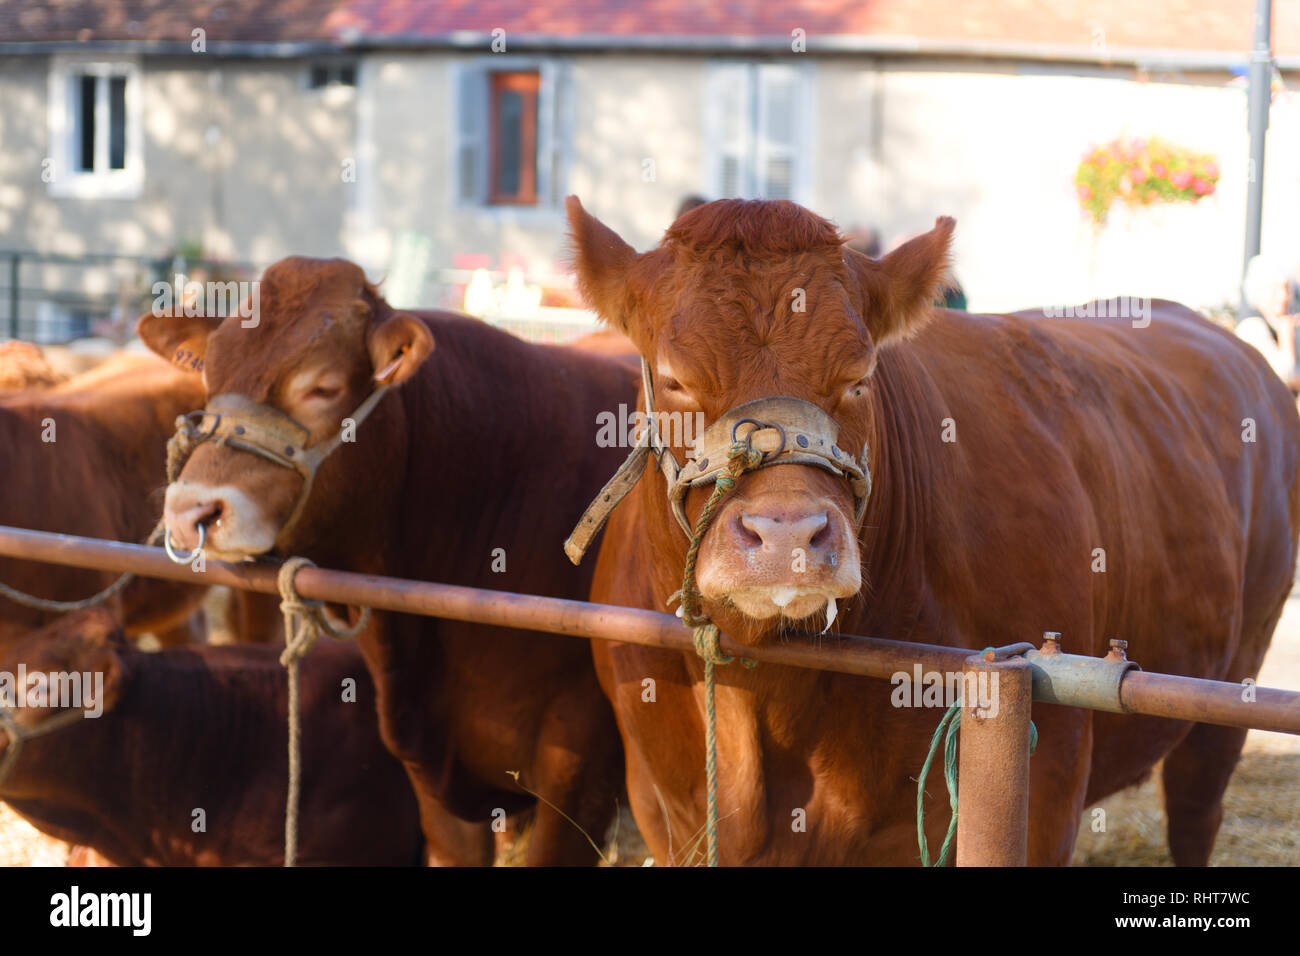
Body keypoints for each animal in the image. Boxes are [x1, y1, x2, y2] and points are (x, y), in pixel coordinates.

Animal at [565, 195, 1300, 866]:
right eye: (674, 379)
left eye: (859, 378)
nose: (787, 537)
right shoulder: (662, 806)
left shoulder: (1045, 790)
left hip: (1236, 675)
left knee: (1196, 809)